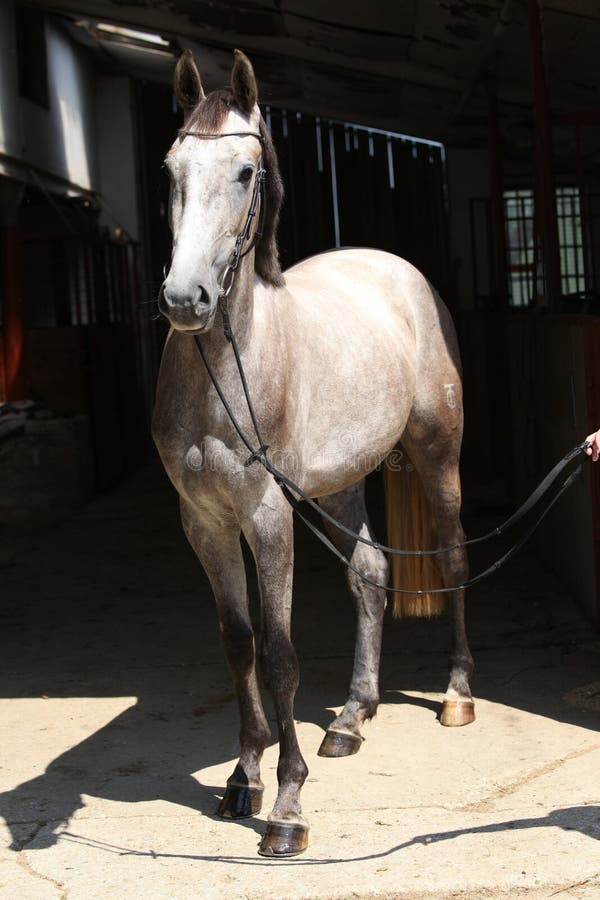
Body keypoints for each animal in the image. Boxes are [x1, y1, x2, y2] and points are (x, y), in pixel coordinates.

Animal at [152, 48, 474, 857]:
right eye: (171, 169)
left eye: (245, 172)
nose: (184, 300)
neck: (224, 370)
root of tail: (397, 270)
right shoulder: (203, 521)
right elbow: (238, 643)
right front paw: (243, 779)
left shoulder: (267, 516)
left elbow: (279, 652)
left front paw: (289, 805)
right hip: (341, 484)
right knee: (370, 575)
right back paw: (354, 718)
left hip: (438, 455)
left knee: (454, 558)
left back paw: (458, 695)